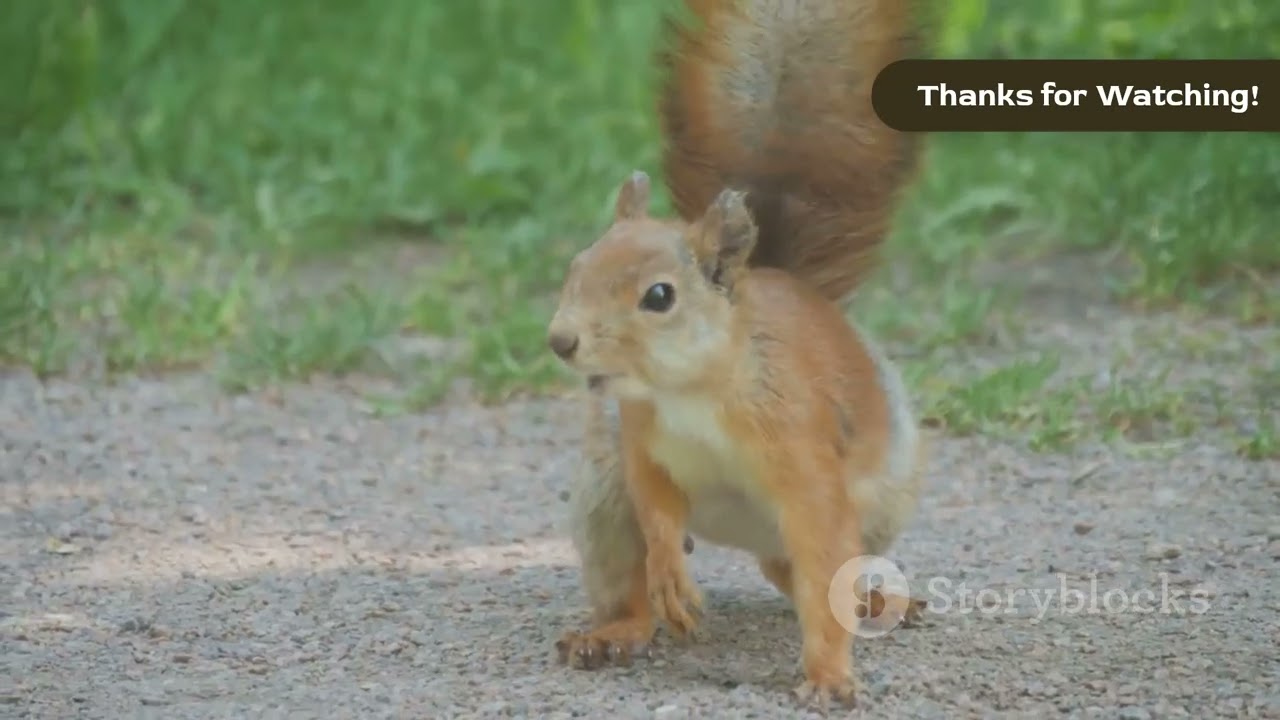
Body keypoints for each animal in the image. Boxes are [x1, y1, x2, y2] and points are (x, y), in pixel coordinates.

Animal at [546, 0, 927, 709]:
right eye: (576, 266)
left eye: (659, 296)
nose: (561, 340)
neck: (692, 390)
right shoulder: (638, 439)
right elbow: (656, 504)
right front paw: (671, 573)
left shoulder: (802, 453)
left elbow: (820, 548)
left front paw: (828, 676)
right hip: (603, 497)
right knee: (639, 578)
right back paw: (614, 632)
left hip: (883, 503)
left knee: (801, 568)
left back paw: (874, 601)